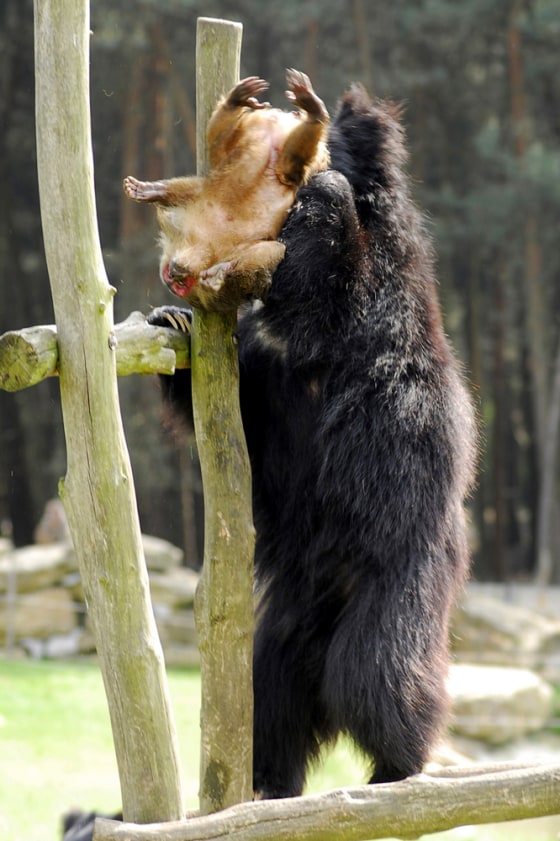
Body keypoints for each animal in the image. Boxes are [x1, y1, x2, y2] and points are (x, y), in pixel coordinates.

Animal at [123, 69, 329, 311]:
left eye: (179, 282)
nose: (175, 273)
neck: (204, 247)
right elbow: (273, 251)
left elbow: (200, 190)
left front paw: (155, 190)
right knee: (283, 166)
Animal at [148, 83, 477, 797]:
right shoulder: (274, 390)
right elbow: (251, 418)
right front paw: (171, 323)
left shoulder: (371, 302)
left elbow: (325, 281)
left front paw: (322, 190)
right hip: (288, 621)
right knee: (270, 695)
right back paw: (266, 778)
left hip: (399, 581)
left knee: (381, 677)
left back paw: (398, 769)